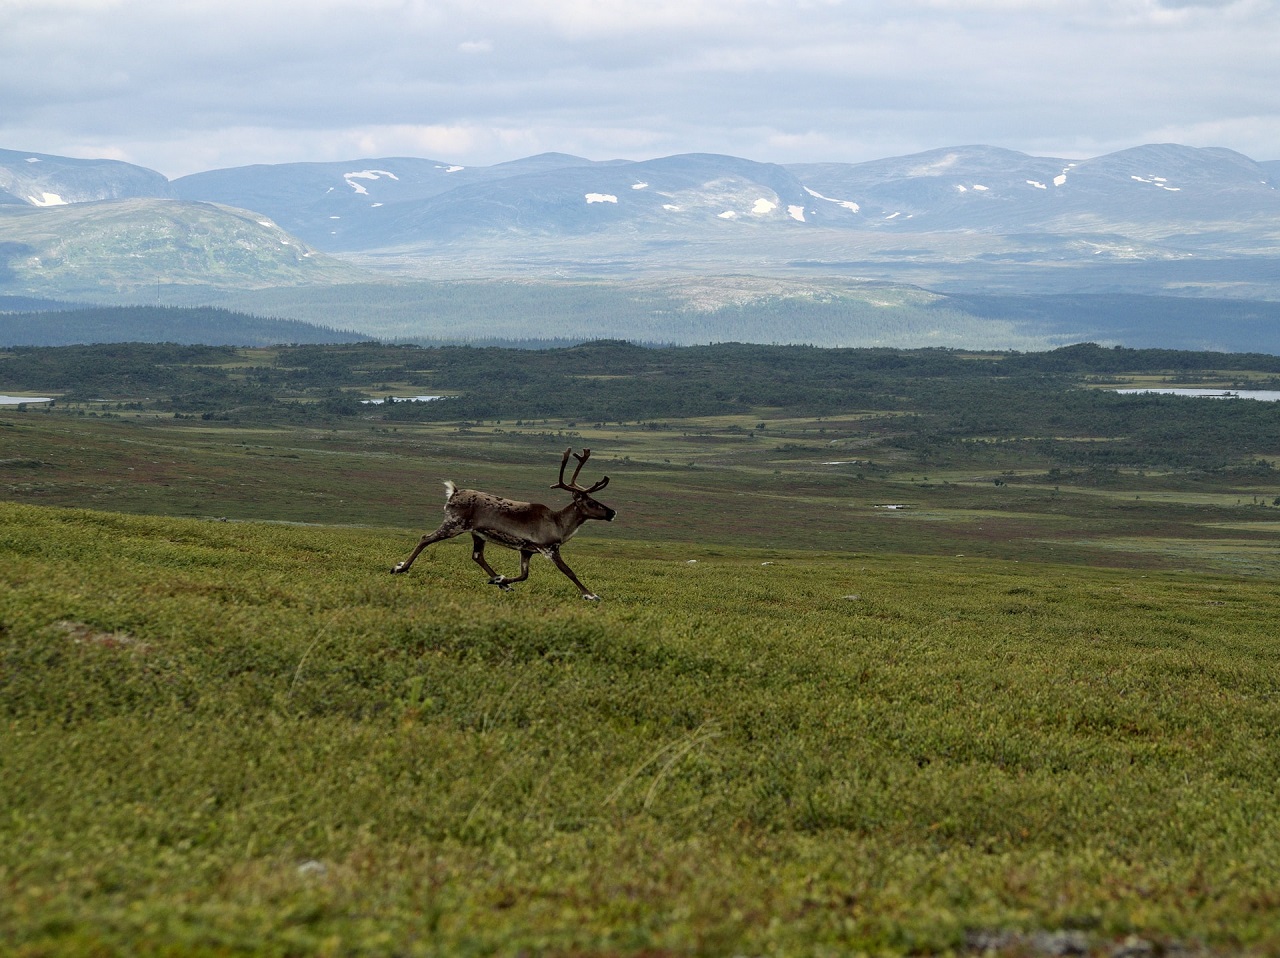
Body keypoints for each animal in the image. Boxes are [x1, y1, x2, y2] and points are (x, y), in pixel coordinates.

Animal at [391, 448, 617, 600]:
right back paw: (400, 567)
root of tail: (453, 492)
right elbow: (569, 571)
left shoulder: (526, 550)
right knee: (425, 538)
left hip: (476, 533)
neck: (560, 524)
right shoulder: (549, 548)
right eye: (591, 502)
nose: (612, 512)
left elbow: (524, 575)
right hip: (454, 524)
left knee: (477, 556)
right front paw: (591, 595)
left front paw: (502, 580)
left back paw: (500, 582)